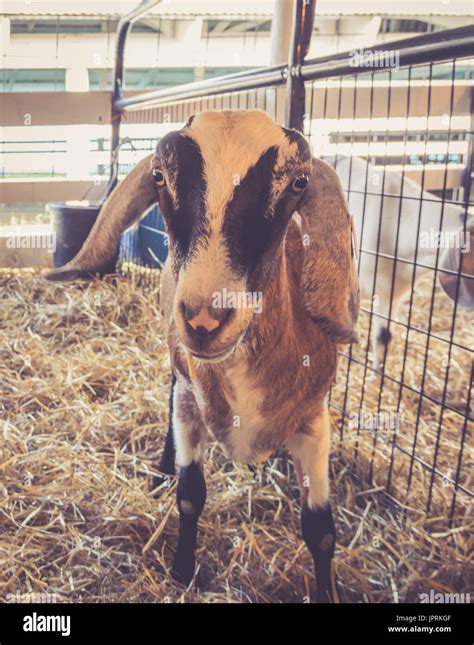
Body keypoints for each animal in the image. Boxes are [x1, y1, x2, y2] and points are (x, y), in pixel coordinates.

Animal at [46, 110, 359, 602]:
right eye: (159, 176)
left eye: (298, 182)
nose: (205, 319)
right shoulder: (191, 399)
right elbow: (191, 494)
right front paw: (181, 570)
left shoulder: (314, 418)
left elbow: (321, 530)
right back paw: (161, 471)